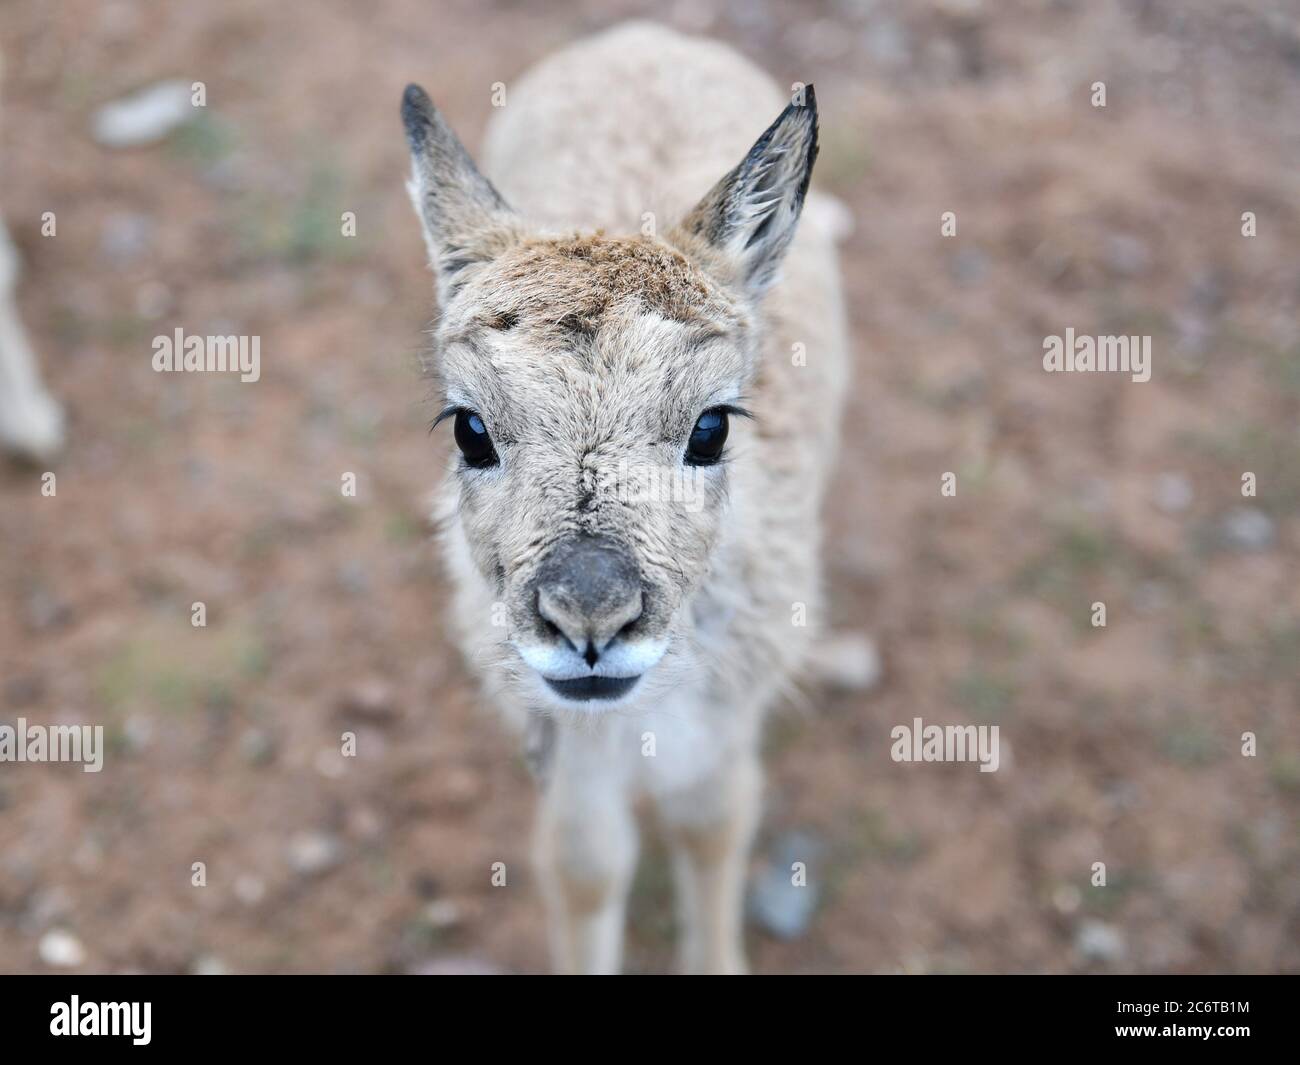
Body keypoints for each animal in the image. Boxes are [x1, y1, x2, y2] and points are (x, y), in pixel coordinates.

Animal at [402, 21, 857, 974]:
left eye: (712, 426)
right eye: (469, 428)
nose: (590, 621)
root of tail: (644, 34)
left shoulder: (726, 722)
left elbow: (714, 826)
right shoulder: (569, 738)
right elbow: (585, 864)